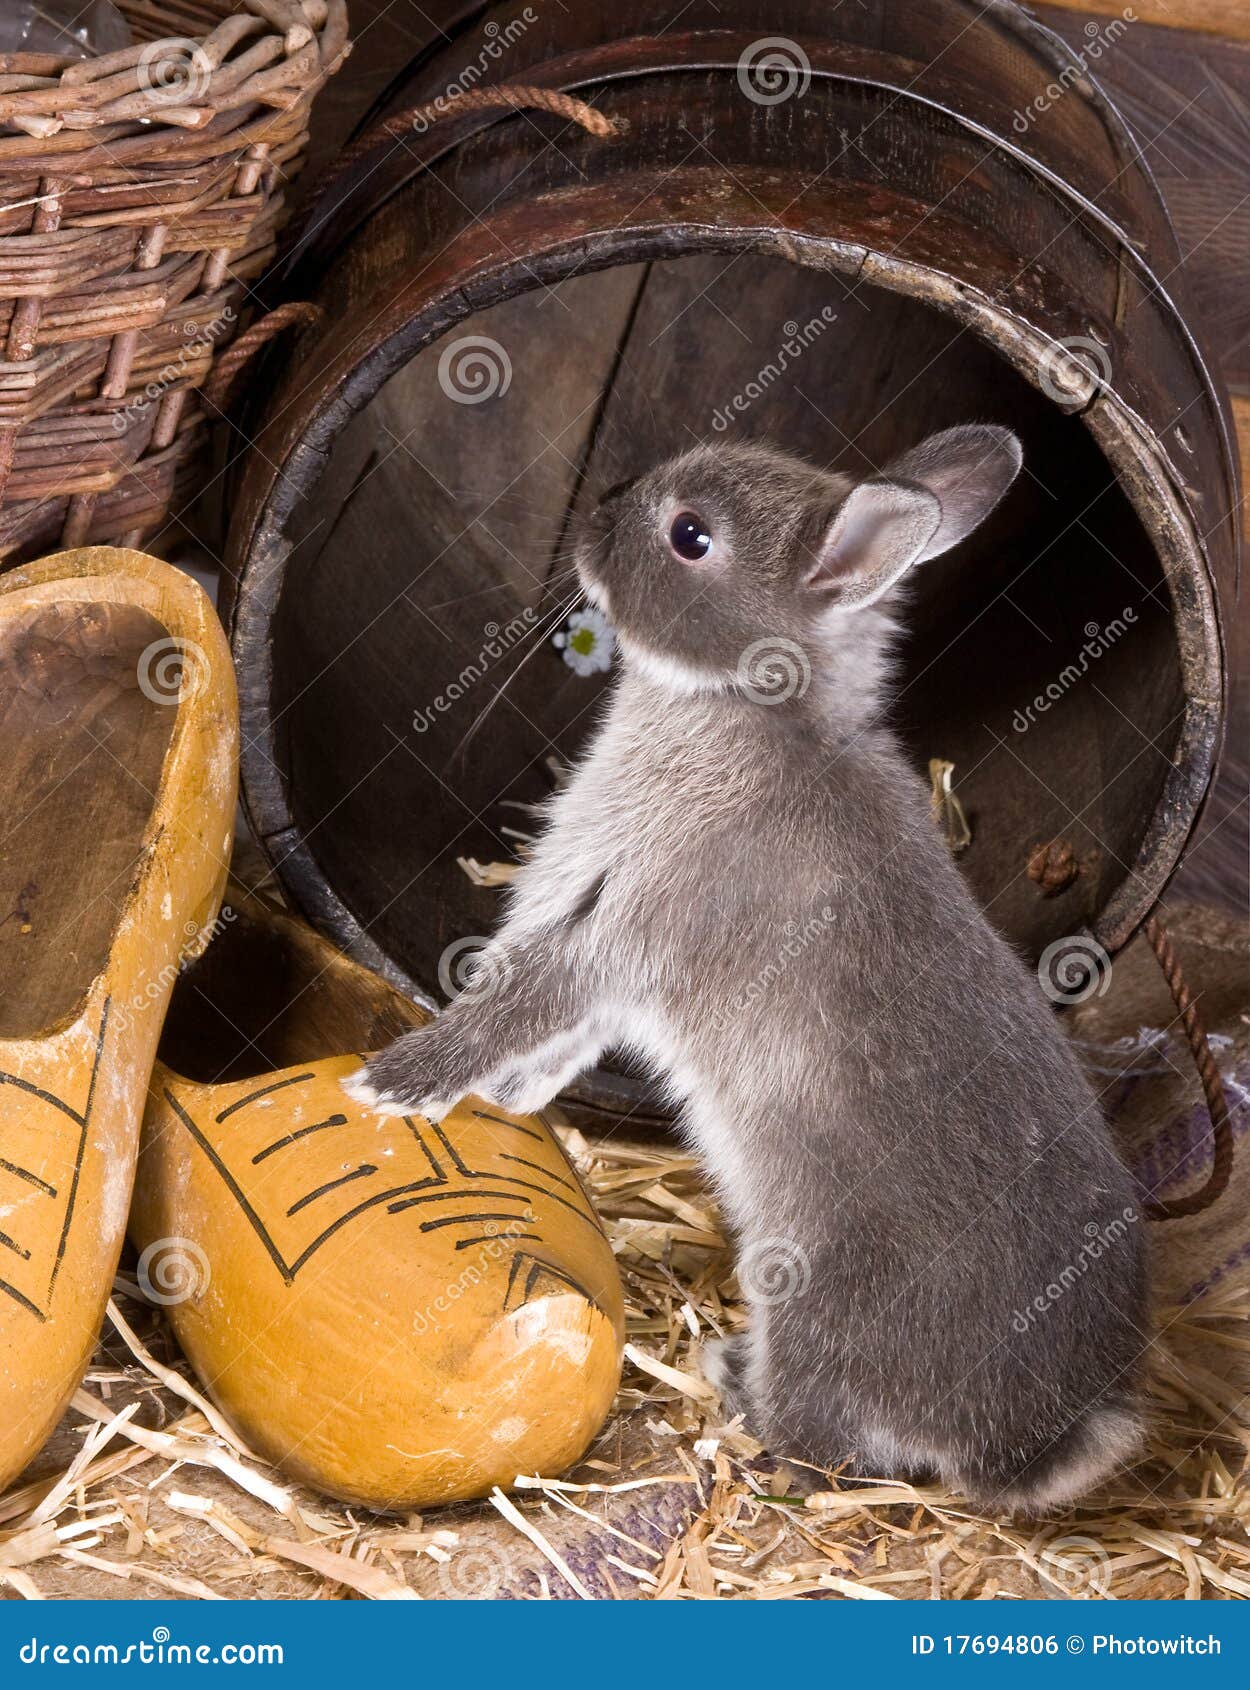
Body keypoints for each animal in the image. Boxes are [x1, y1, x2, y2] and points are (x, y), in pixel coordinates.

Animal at [346, 425, 1148, 1513]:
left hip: (810, 1298)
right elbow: (552, 1036)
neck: (746, 706)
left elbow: (516, 1007)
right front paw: (508, 1104)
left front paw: (393, 1083)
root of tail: (1039, 1443)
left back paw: (733, 1388)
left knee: (822, 1448)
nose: (601, 508)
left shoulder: (615, 930)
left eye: (690, 536)